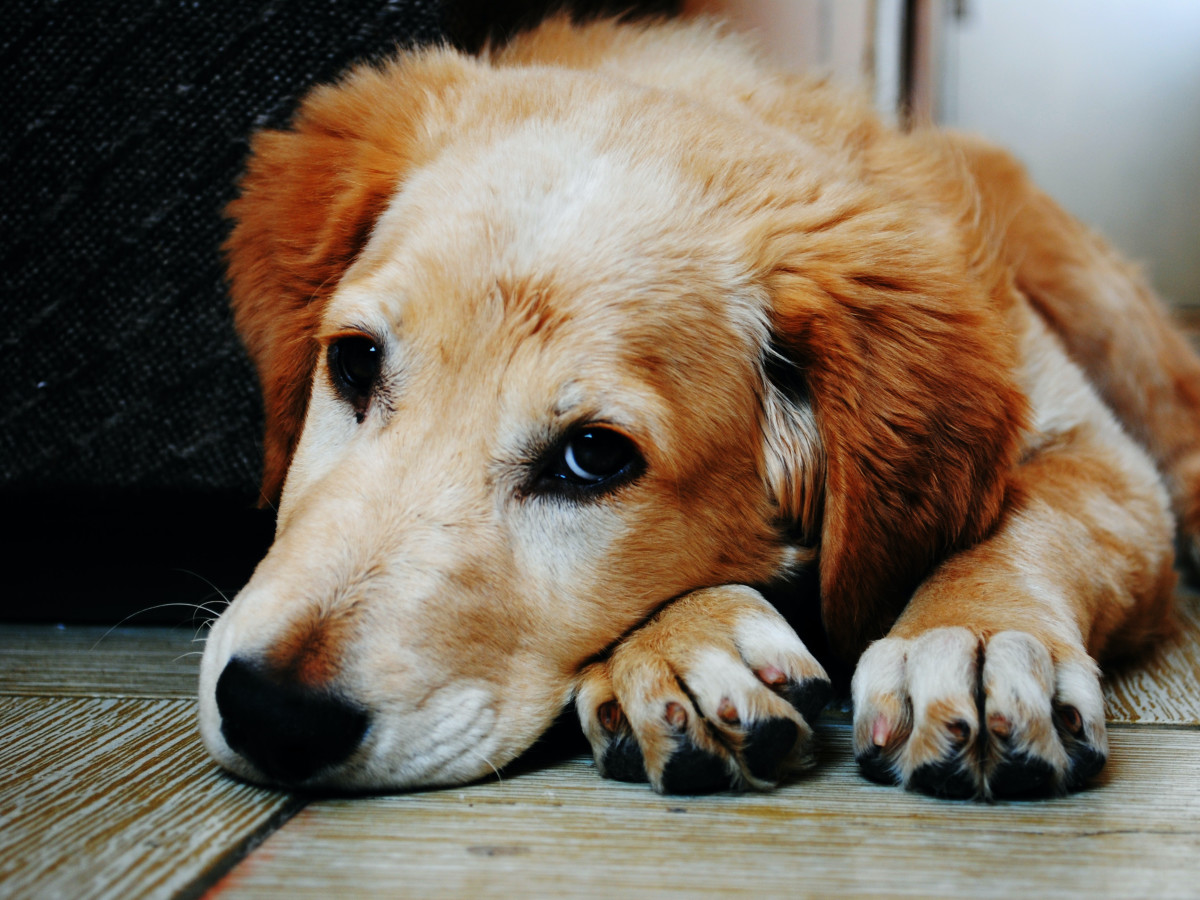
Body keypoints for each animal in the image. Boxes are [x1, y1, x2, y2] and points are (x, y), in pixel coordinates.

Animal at [198, 16, 1200, 799]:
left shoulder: (1099, 456)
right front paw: (685, 642)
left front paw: (977, 635)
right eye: (354, 362)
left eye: (594, 457)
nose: (270, 712)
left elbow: (1035, 522)